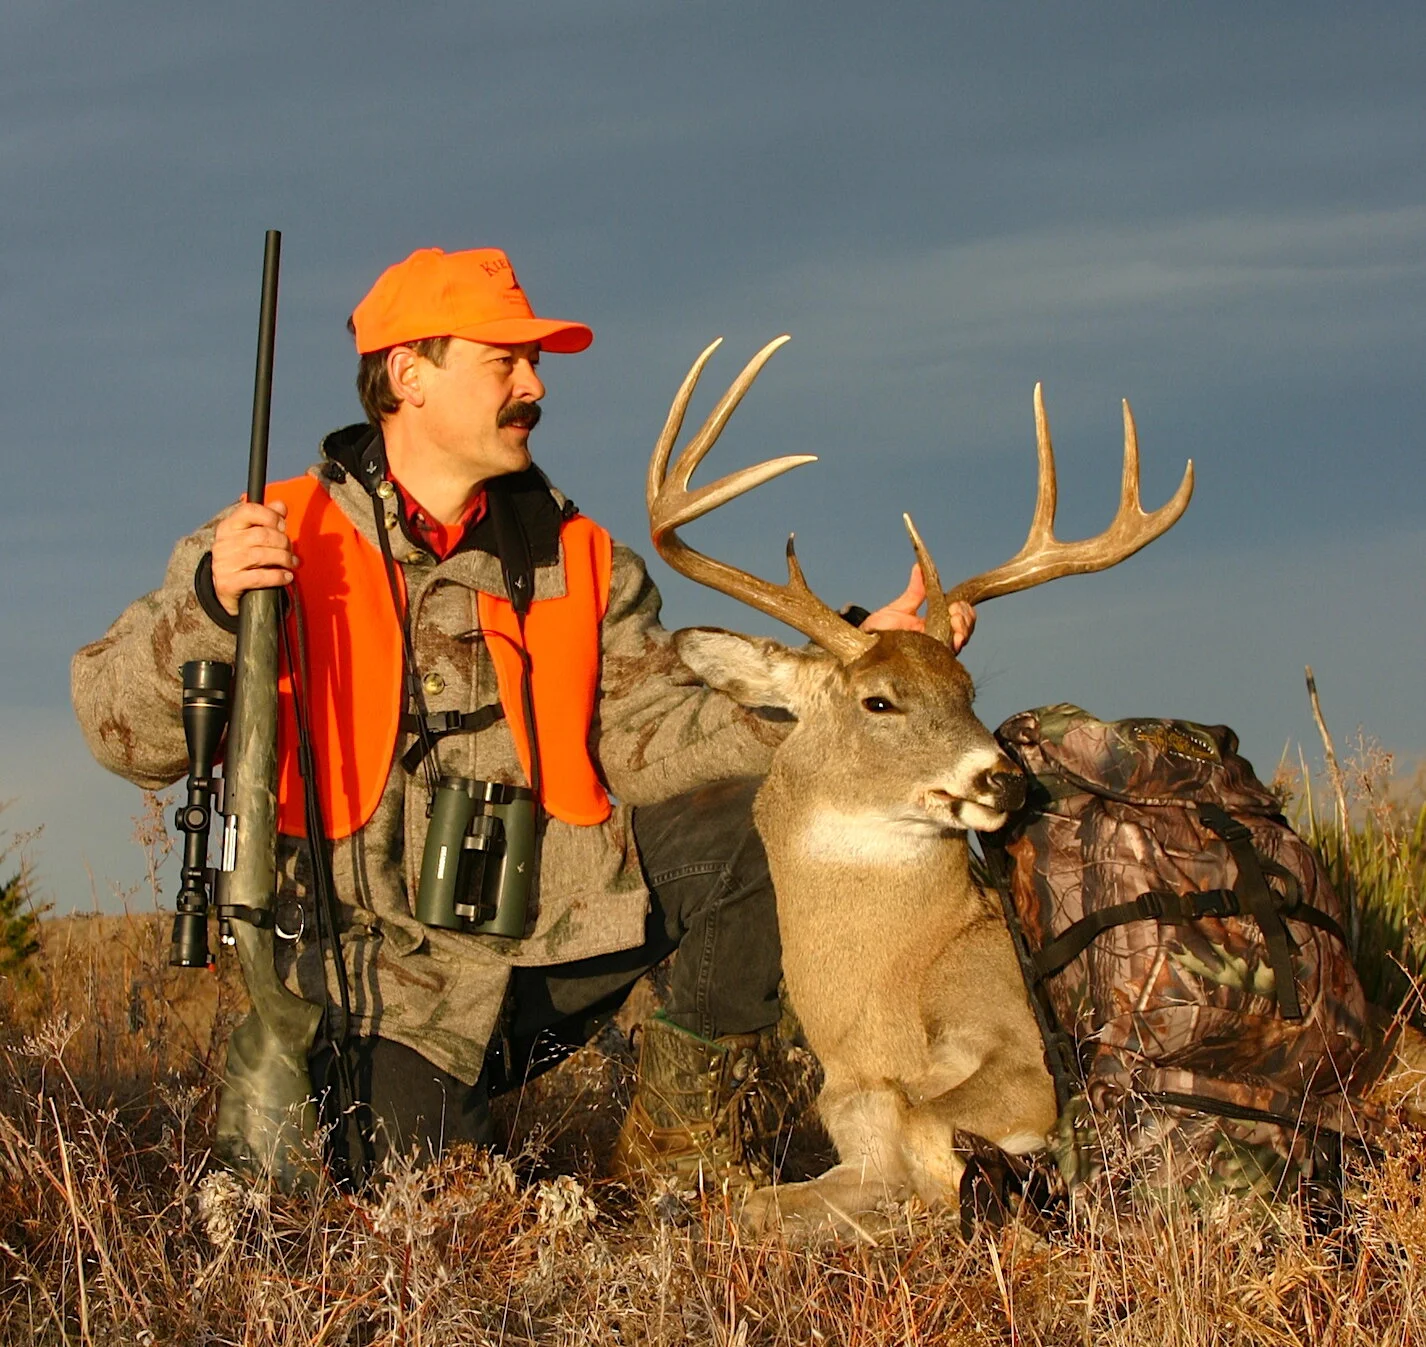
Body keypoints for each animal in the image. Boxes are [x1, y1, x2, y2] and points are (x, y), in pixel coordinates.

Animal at [646, 335, 1194, 1237]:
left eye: (968, 687)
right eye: (880, 699)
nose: (1003, 777)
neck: (878, 1025)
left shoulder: (1025, 1060)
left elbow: (930, 1127)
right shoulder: (848, 1121)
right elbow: (766, 1200)